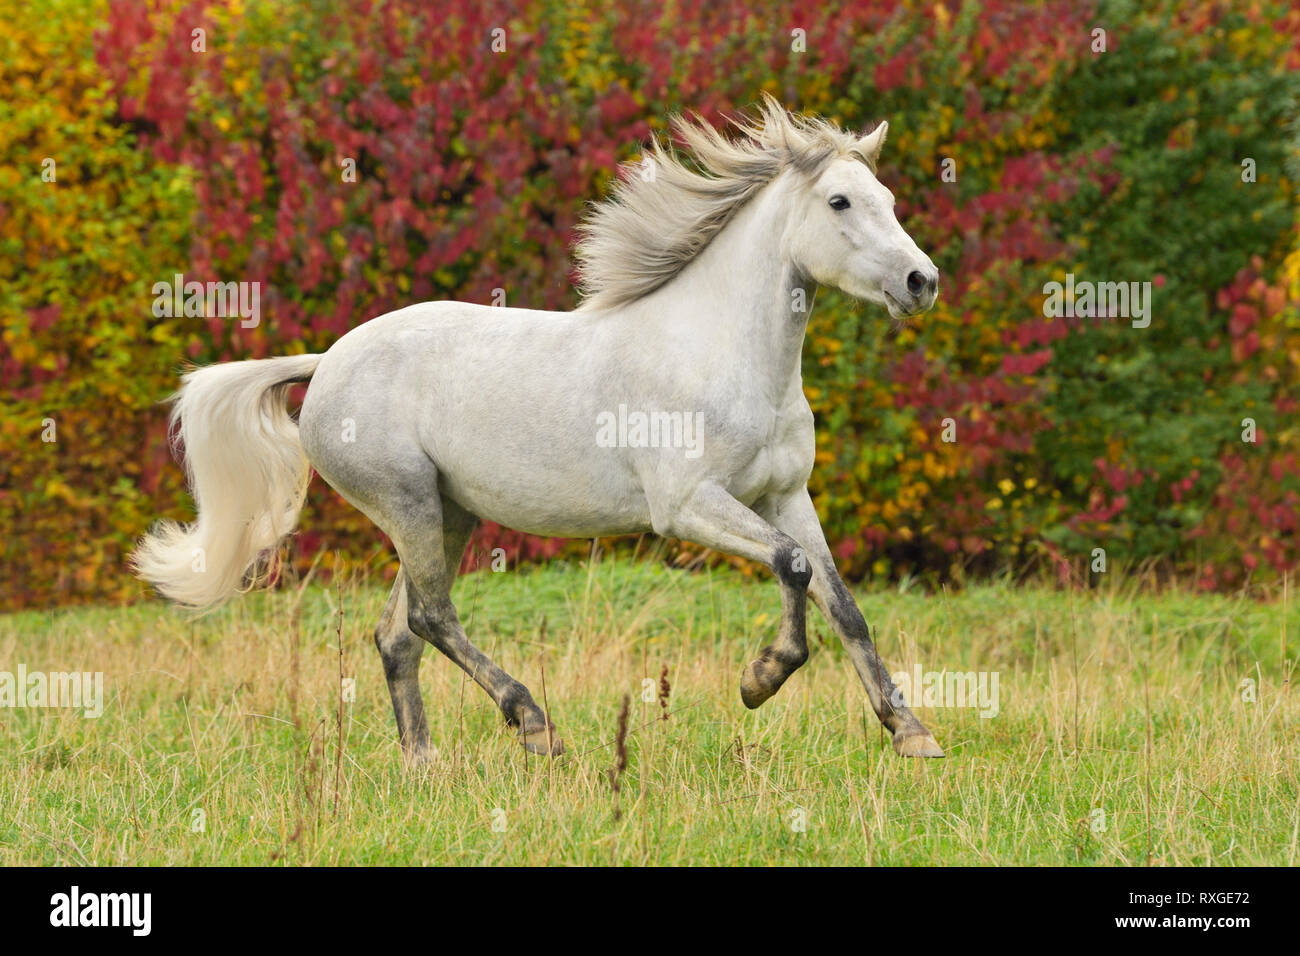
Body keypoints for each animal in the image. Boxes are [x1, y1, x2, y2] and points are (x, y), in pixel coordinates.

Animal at [132, 95, 945, 762]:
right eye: (839, 201)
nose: (922, 283)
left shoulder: (786, 496)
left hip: (446, 511)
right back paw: (535, 726)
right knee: (430, 616)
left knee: (396, 635)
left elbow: (841, 601)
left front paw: (912, 734)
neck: (722, 353)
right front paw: (759, 681)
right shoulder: (686, 506)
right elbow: (793, 567)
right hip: (408, 502)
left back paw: (423, 765)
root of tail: (328, 359)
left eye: (888, 198)